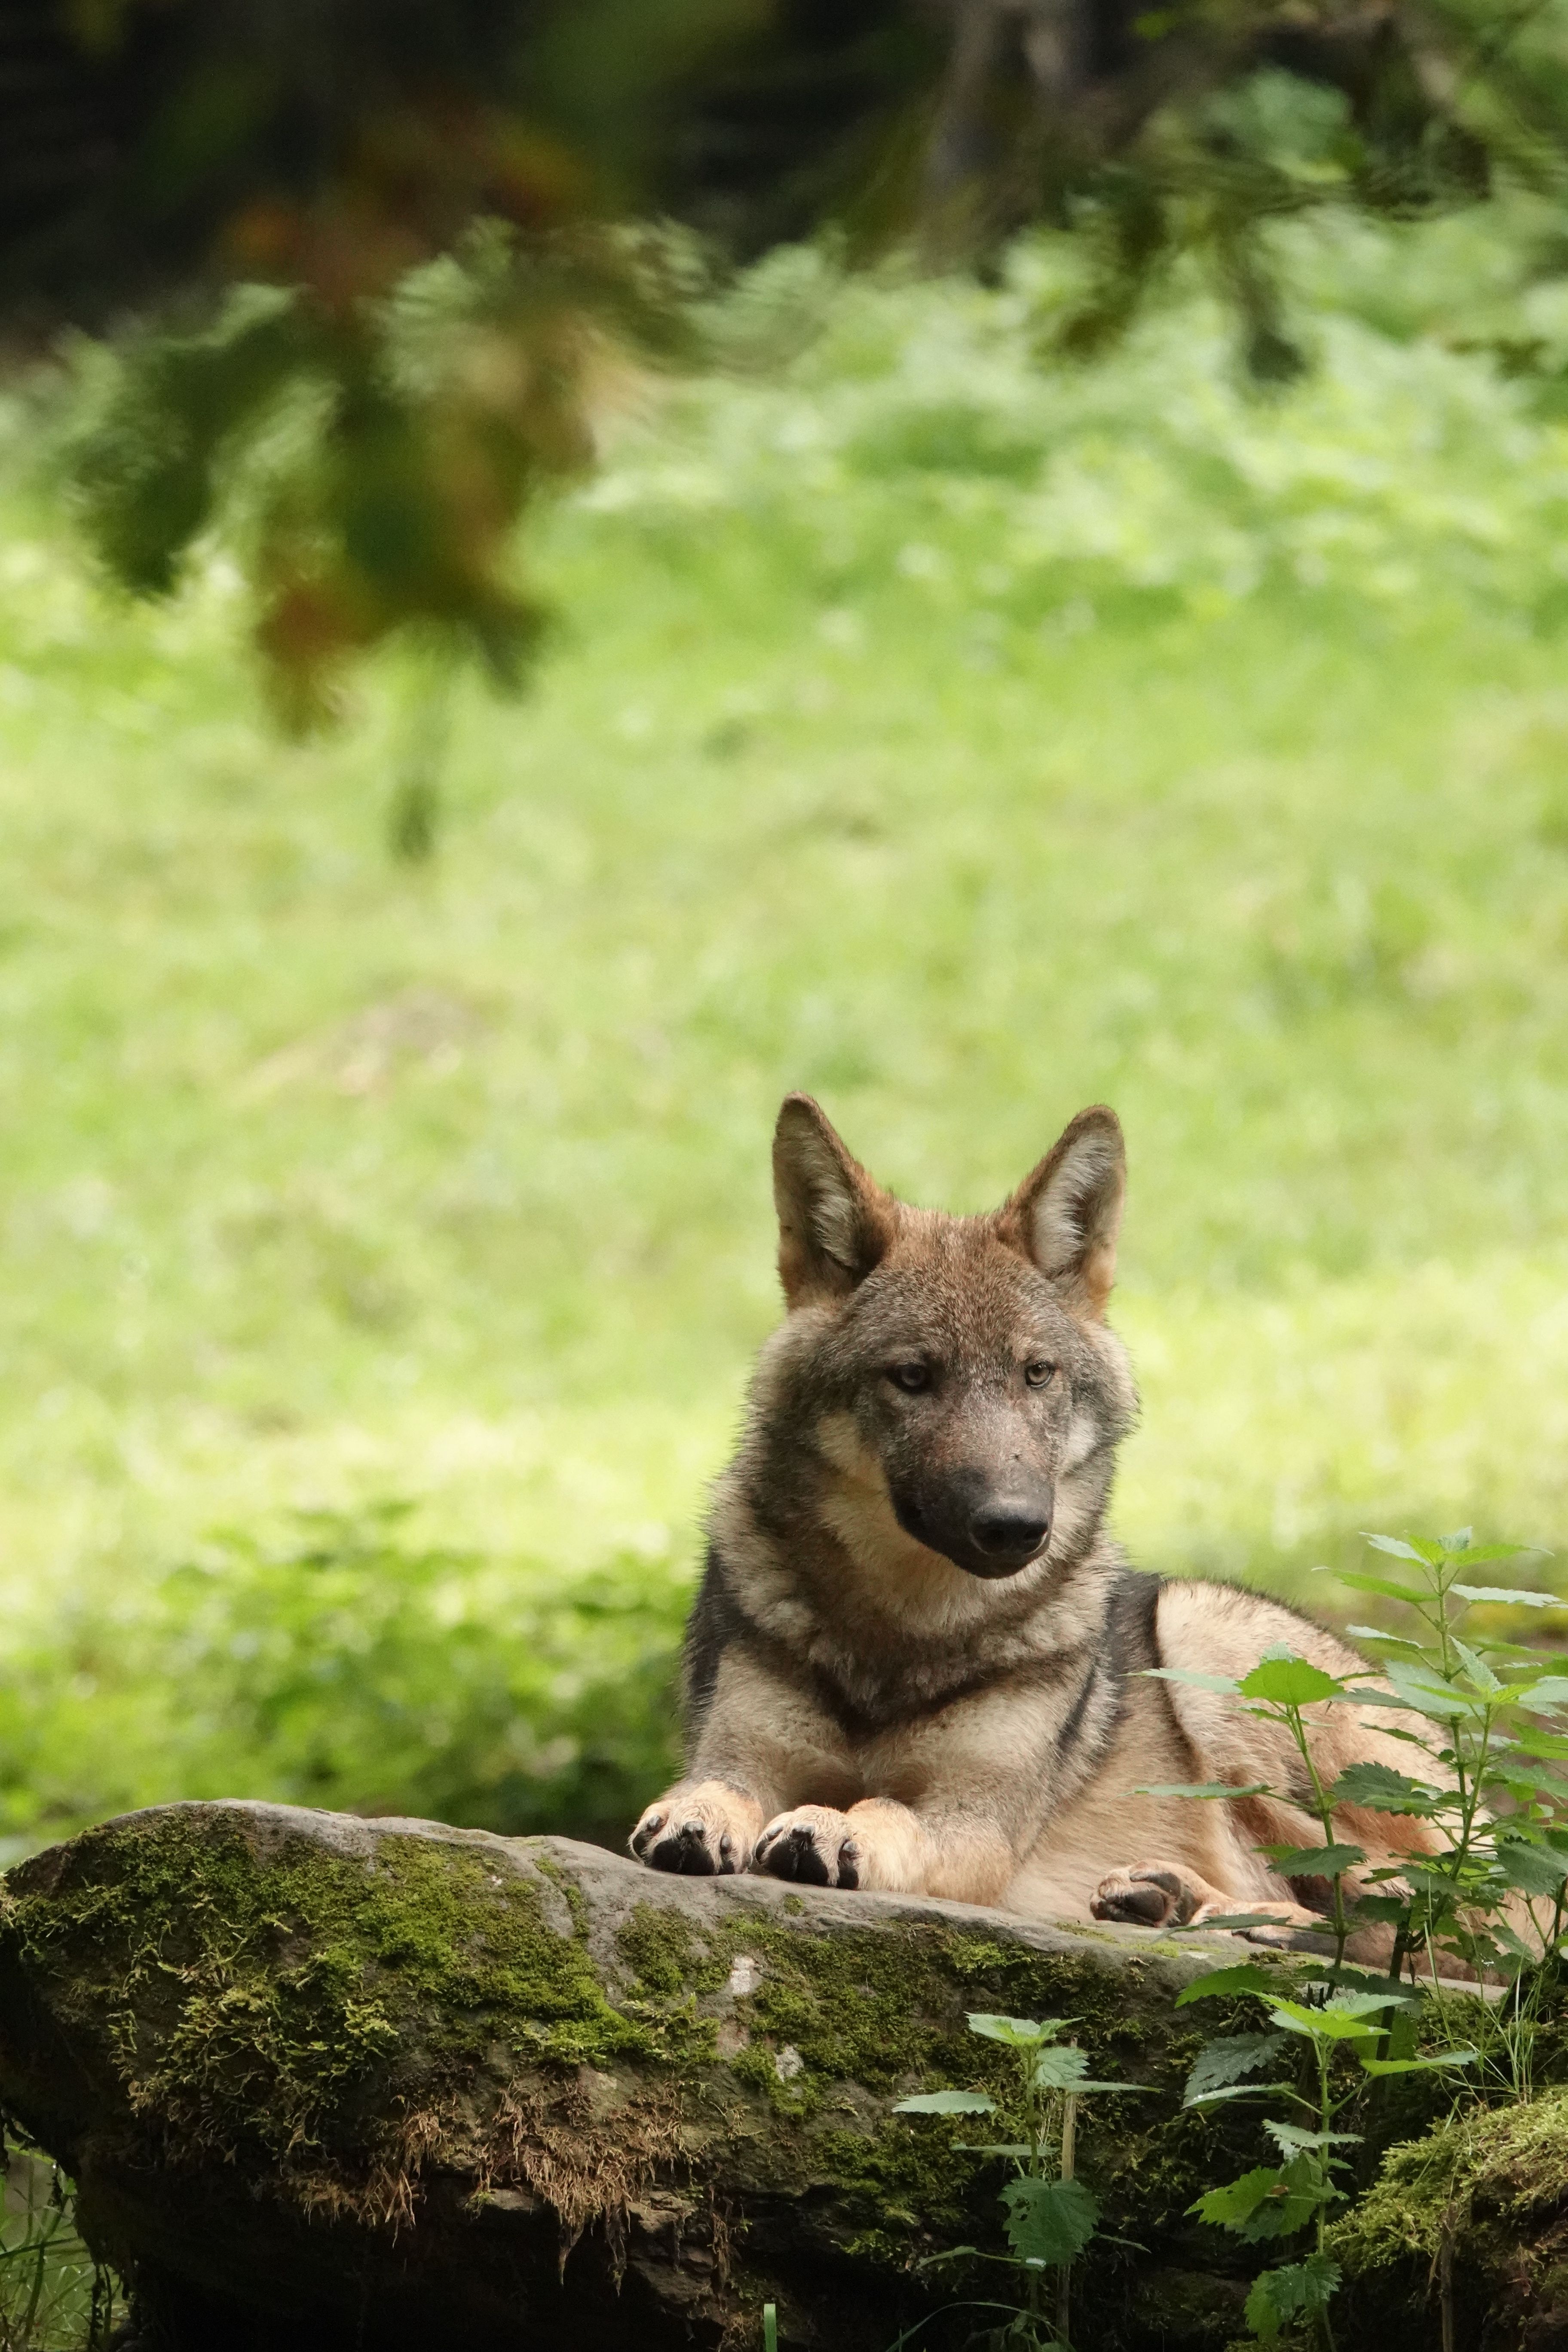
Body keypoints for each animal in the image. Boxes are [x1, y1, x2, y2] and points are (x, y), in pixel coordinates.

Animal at [629, 1096, 1444, 1946]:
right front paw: (694, 1816)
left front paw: (835, 1825)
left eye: (1036, 1373)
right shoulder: (744, 1752)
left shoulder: (977, 1820)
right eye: (912, 1377)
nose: (1015, 1525)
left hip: (1201, 1638)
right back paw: (1165, 1898)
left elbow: (886, 1808)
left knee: (1412, 1923)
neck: (903, 1635)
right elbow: (722, 1786)